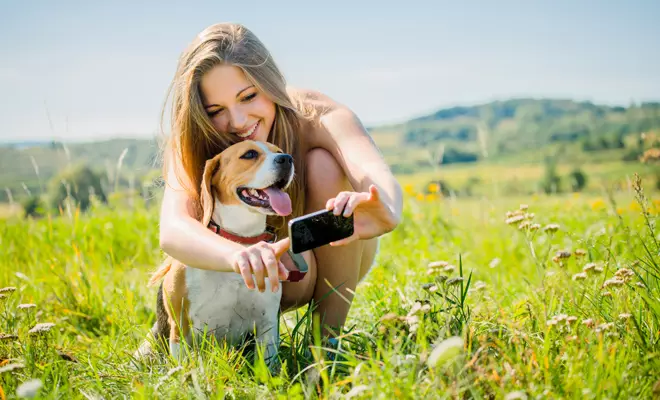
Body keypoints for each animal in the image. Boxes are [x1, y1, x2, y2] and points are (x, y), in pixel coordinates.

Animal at [142, 139, 306, 368]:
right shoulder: (180, 328)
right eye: (249, 154)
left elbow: (267, 367)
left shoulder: (267, 325)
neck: (237, 242)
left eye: (279, 151)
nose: (287, 159)